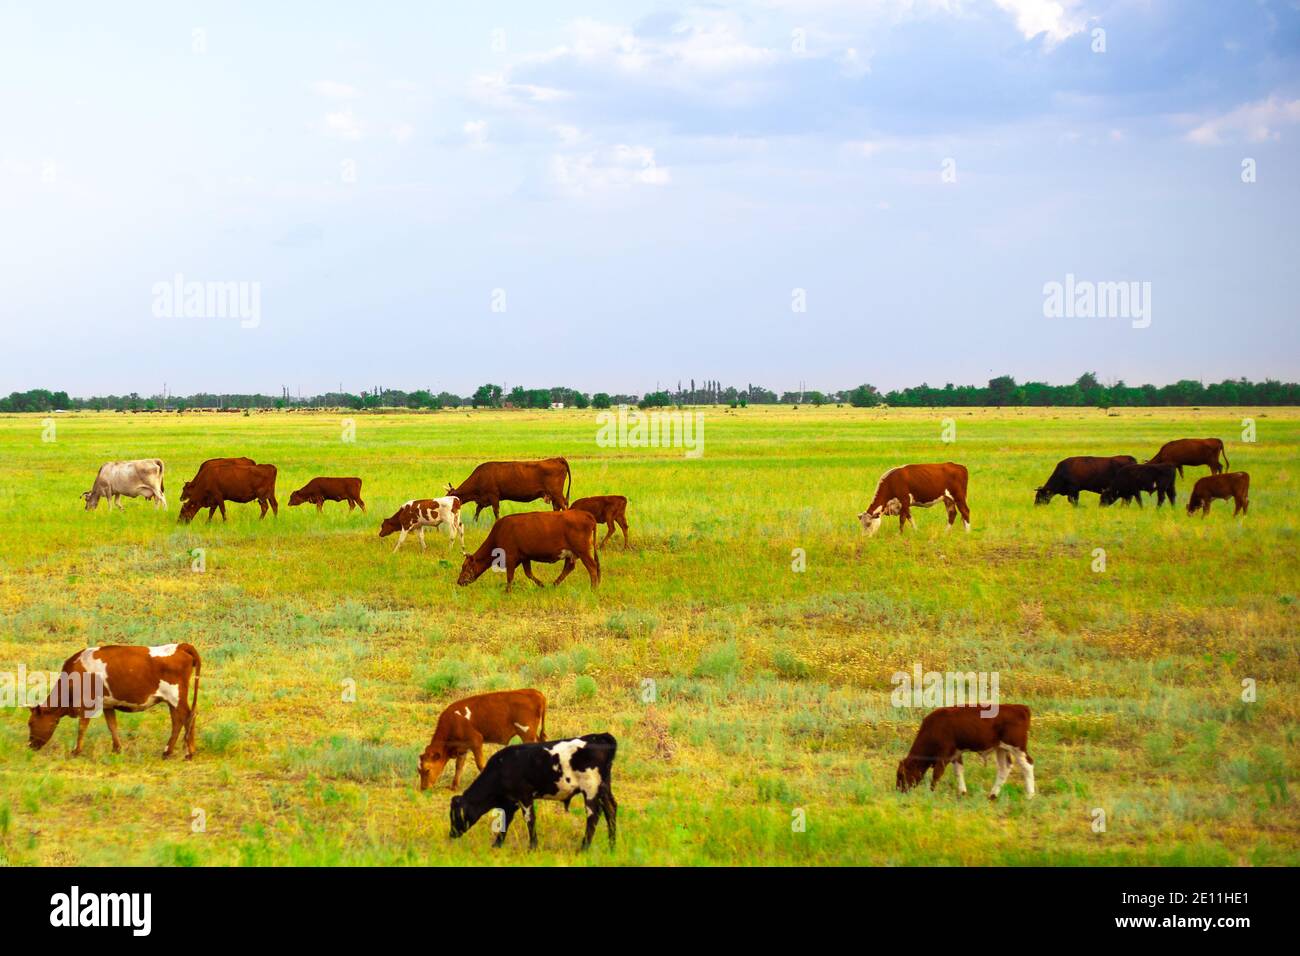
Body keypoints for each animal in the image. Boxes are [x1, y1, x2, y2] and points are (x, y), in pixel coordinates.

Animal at [28, 643, 201, 760]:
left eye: (30, 723)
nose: (29, 745)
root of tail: (180, 646)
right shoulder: (108, 705)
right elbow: (112, 726)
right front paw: (117, 749)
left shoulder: (86, 704)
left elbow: (82, 727)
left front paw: (76, 751)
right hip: (172, 701)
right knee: (179, 721)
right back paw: (171, 751)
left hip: (176, 697)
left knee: (187, 717)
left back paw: (186, 752)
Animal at [418, 689, 548, 791]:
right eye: (419, 771)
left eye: (427, 770)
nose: (423, 788)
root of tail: (535, 692)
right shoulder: (462, 748)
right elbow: (459, 766)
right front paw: (454, 786)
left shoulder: (476, 740)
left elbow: (480, 764)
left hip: (527, 733)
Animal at [449, 733, 617, 851]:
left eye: (454, 815)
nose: (452, 834)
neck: (501, 768)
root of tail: (600, 737)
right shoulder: (510, 803)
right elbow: (505, 821)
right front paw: (497, 845)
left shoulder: (524, 796)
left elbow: (530, 820)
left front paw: (532, 847)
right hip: (604, 788)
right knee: (611, 809)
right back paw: (611, 846)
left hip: (590, 789)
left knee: (593, 815)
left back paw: (584, 848)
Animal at [457, 510, 599, 591]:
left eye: (465, 567)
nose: (459, 582)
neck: (500, 531)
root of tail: (586, 514)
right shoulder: (524, 557)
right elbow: (529, 574)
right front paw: (541, 585)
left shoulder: (510, 557)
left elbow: (510, 576)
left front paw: (507, 591)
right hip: (572, 553)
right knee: (569, 568)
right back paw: (553, 585)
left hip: (583, 551)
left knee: (592, 567)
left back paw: (593, 588)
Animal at [896, 705, 1034, 801]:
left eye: (901, 775)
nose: (899, 791)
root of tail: (1020, 707)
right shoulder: (956, 753)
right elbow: (958, 771)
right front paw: (962, 793)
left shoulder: (945, 754)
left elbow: (937, 774)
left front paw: (931, 792)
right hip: (1001, 748)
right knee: (1004, 768)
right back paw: (992, 795)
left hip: (1017, 747)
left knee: (1027, 766)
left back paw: (1029, 796)